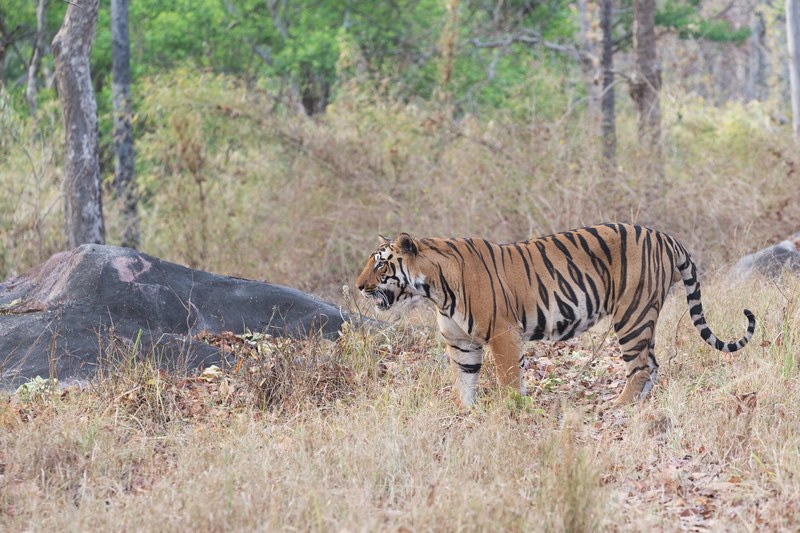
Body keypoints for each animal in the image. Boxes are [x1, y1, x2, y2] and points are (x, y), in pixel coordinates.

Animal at [355, 223, 756, 407]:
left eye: (380, 265)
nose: (358, 287)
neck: (435, 290)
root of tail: (666, 236)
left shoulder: (502, 333)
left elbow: (508, 378)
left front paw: (512, 410)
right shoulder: (462, 344)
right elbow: (465, 381)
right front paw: (465, 412)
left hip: (631, 314)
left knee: (641, 366)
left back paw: (621, 407)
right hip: (643, 317)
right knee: (653, 365)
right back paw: (641, 404)